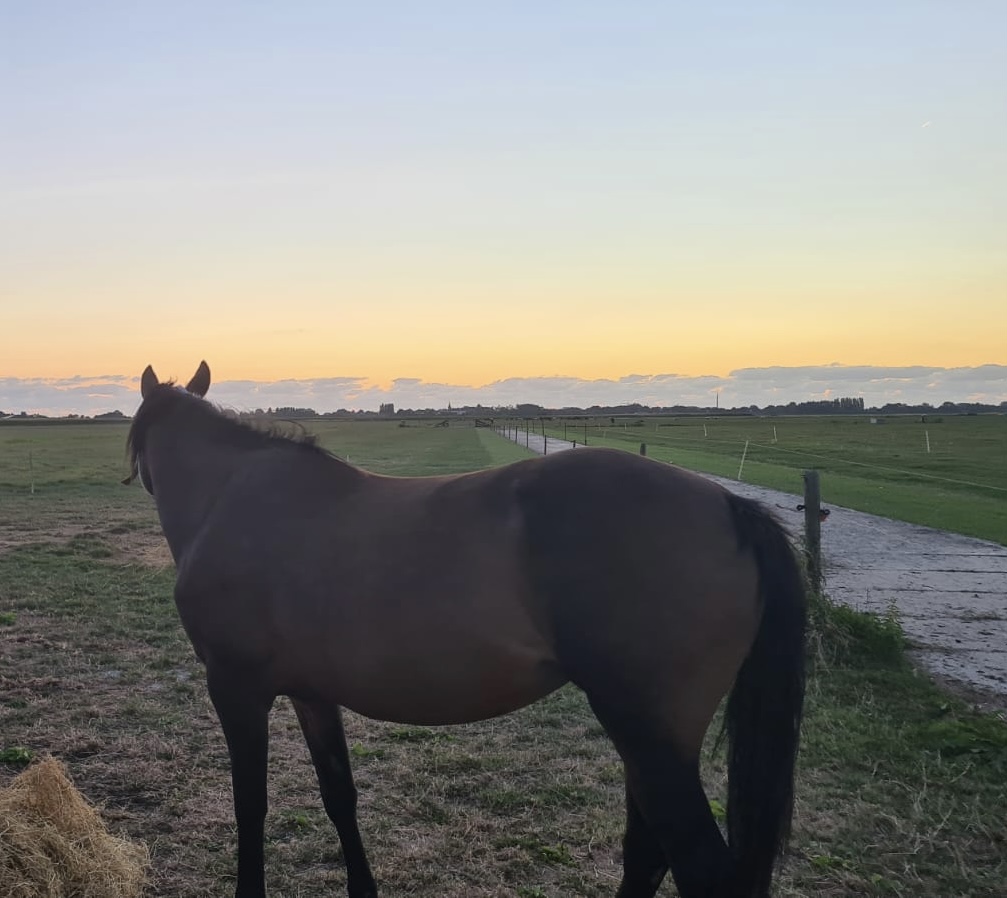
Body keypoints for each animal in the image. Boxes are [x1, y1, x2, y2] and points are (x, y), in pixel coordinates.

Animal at [125, 361, 806, 898]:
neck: (230, 497)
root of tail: (730, 506)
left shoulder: (236, 689)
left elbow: (250, 806)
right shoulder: (312, 693)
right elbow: (338, 795)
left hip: (648, 734)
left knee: (695, 868)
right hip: (652, 740)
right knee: (646, 854)